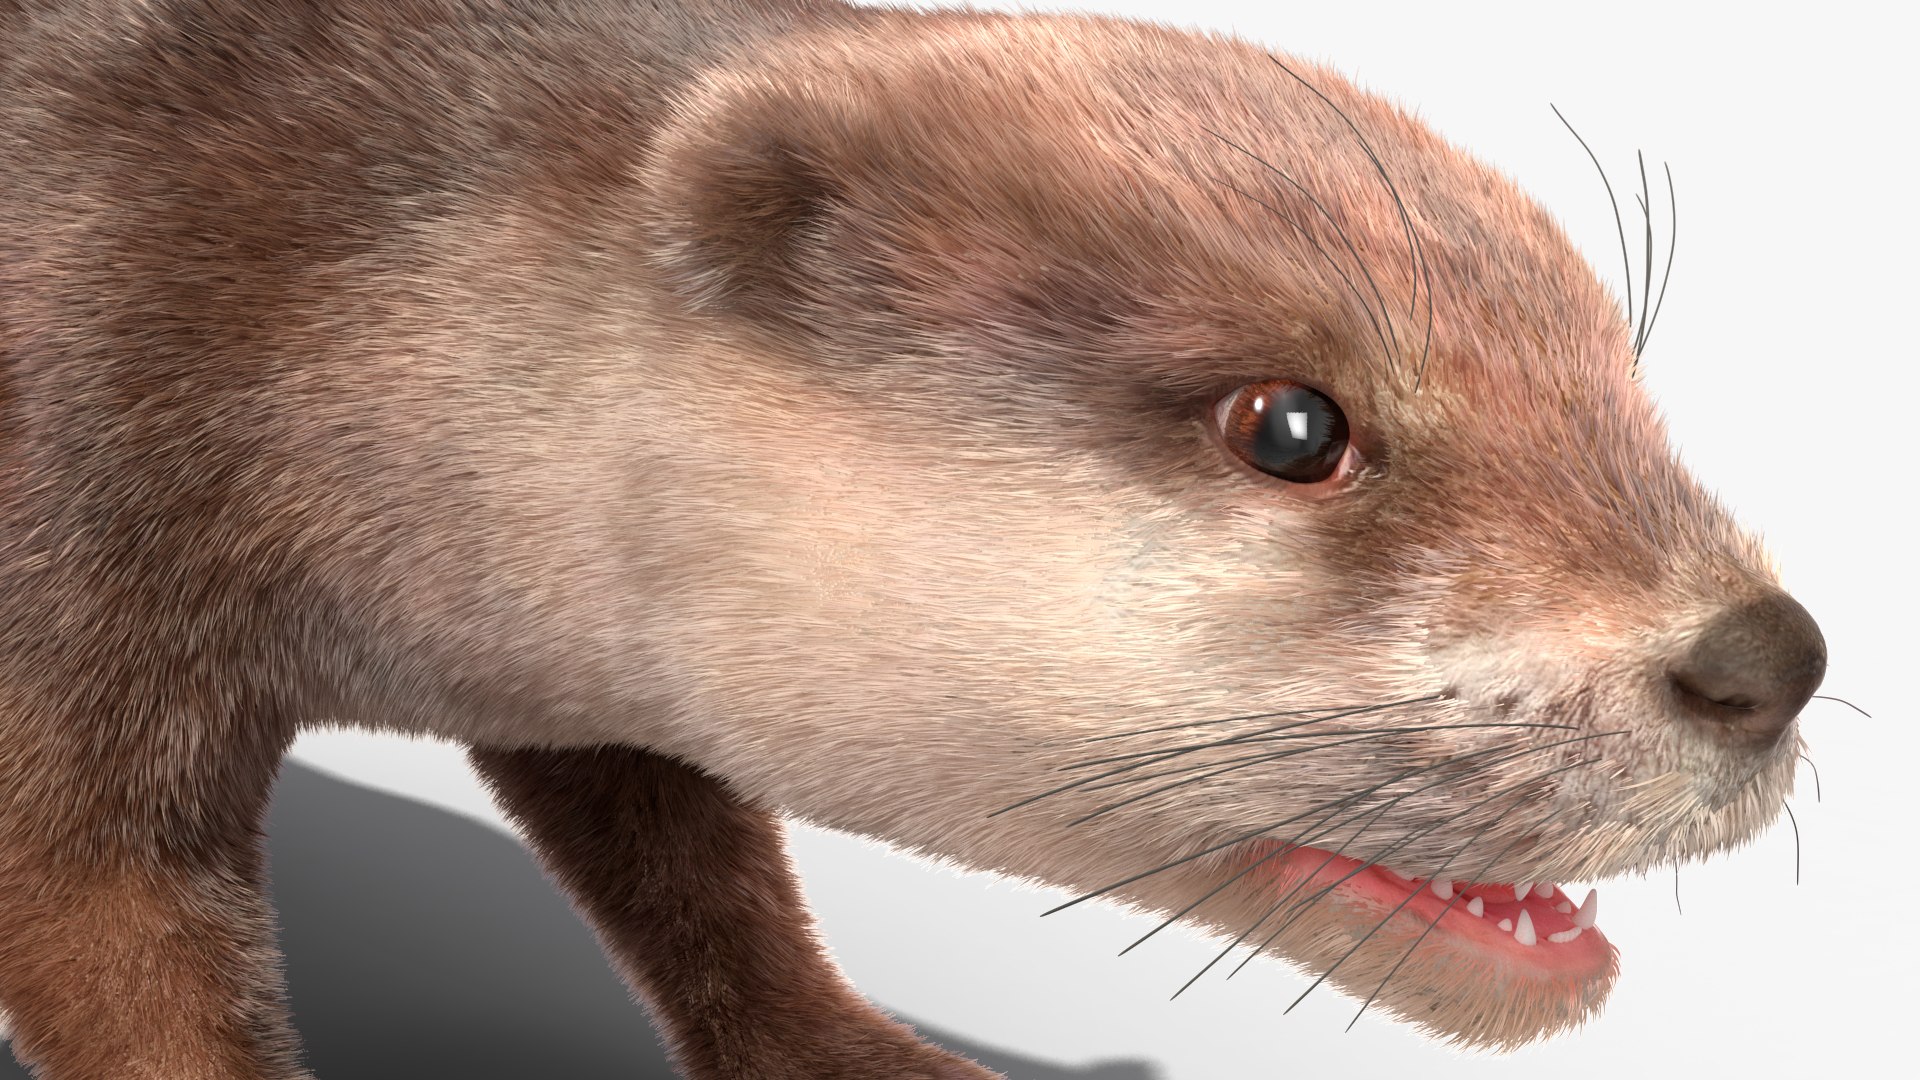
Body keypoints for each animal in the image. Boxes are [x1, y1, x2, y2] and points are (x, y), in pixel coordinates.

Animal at [0, 0, 1828, 1077]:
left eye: (1621, 376)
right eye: (1294, 427)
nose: (1771, 657)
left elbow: (680, 845)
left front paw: (848, 1049)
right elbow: (89, 901)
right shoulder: (77, 493)